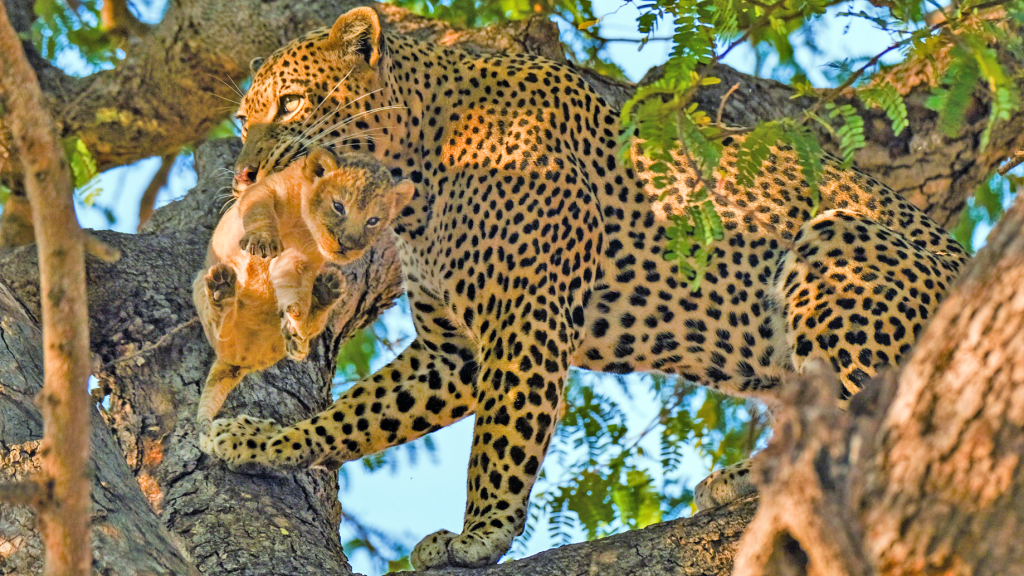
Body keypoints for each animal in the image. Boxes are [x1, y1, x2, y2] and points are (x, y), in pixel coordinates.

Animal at [194, 144, 414, 437]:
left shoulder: (299, 261)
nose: (348, 246)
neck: (303, 221)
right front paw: (263, 239)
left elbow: (295, 290)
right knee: (220, 328)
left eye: (373, 220)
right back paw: (222, 290)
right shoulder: (263, 190)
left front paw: (296, 320)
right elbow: (259, 211)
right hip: (200, 283)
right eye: (338, 206)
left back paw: (319, 302)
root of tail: (239, 362)